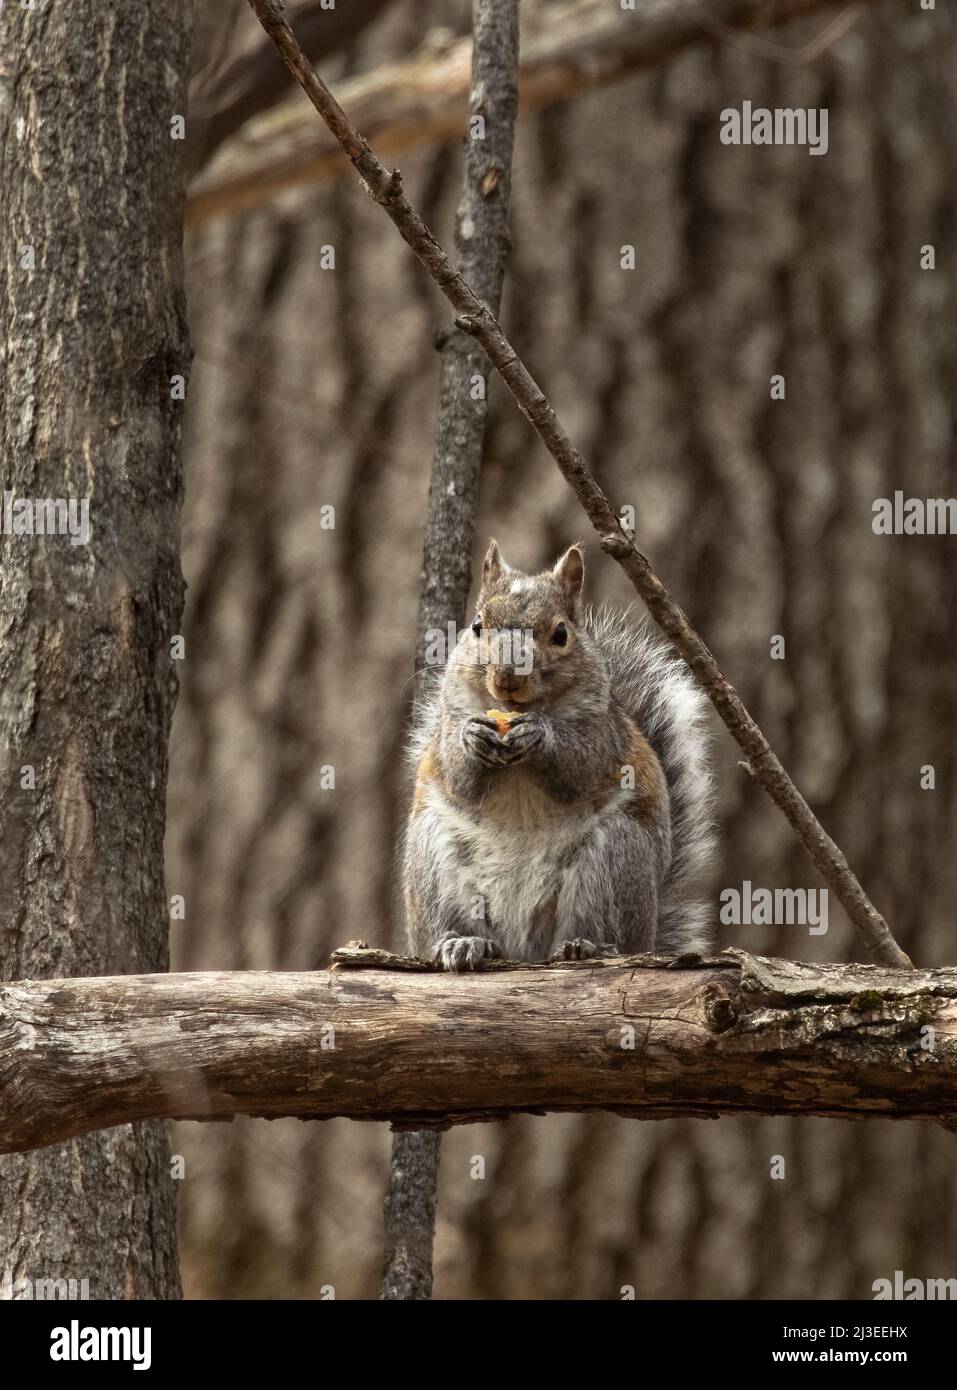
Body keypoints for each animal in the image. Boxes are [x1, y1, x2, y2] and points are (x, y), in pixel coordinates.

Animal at [402, 539, 715, 969]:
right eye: (478, 626)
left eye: (561, 633)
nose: (508, 677)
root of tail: (523, 951)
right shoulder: (448, 723)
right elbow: (456, 774)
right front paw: (472, 738)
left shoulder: (602, 736)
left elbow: (578, 766)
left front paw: (541, 736)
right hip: (435, 867)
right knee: (445, 925)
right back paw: (461, 943)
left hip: (614, 860)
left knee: (602, 929)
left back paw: (586, 947)